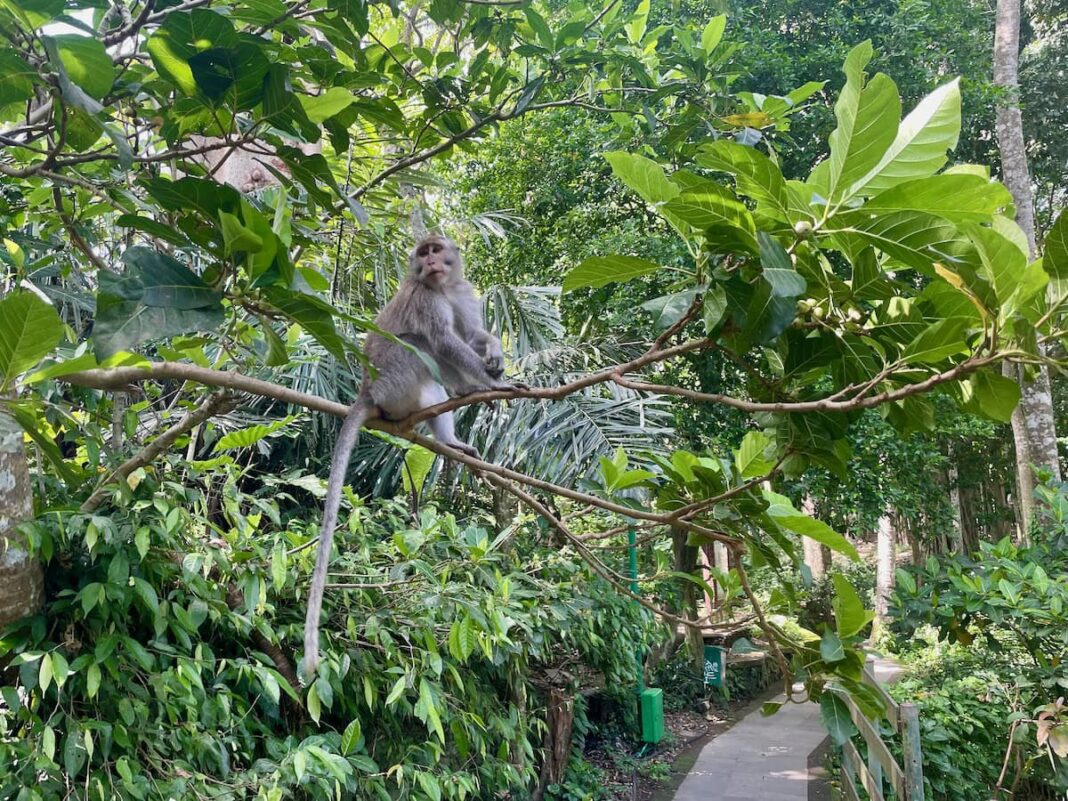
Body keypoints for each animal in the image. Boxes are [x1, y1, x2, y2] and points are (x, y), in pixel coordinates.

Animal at [303, 234, 517, 675]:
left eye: (436, 250)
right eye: (423, 254)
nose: (431, 261)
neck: (443, 288)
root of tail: (367, 391)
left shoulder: (463, 293)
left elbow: (471, 333)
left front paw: (493, 353)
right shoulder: (425, 299)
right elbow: (447, 341)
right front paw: (491, 380)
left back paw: (454, 431)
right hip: (396, 383)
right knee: (424, 347)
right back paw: (467, 392)